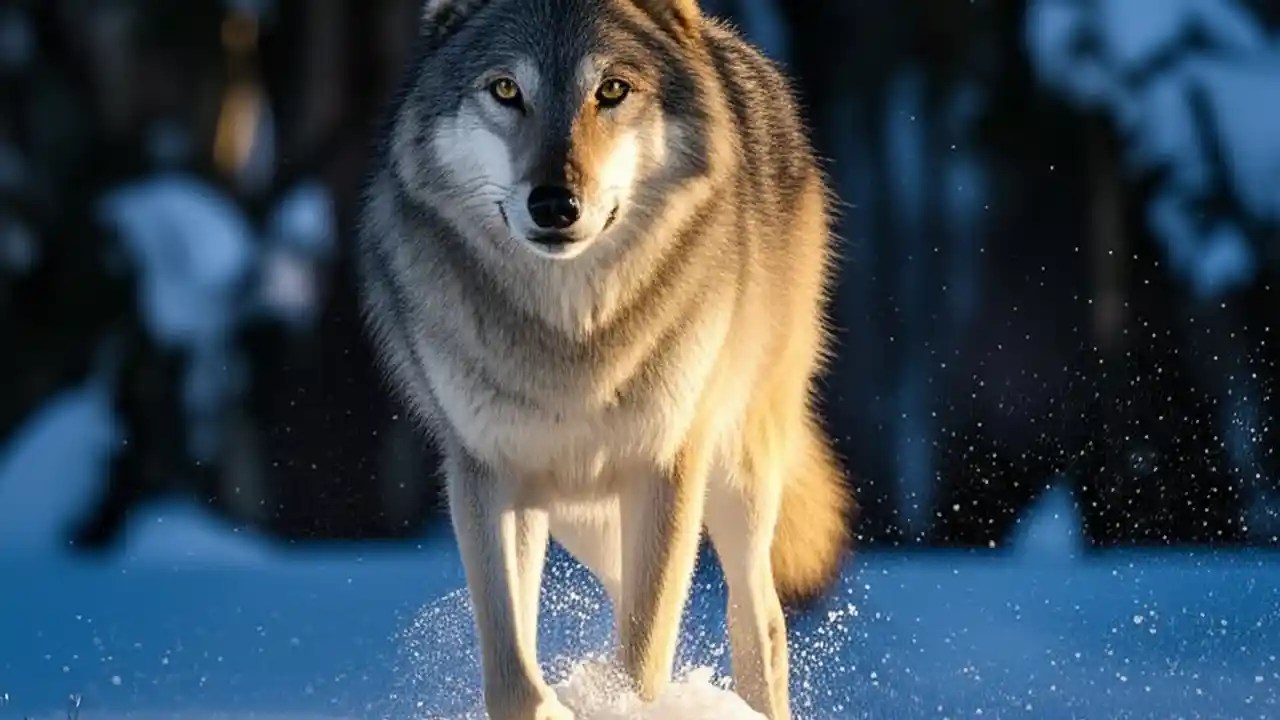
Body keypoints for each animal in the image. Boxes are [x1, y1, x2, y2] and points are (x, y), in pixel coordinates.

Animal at [357, 0, 853, 717]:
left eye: (612, 90)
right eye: (506, 89)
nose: (554, 204)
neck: (573, 339)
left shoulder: (665, 467)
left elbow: (642, 662)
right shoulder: (489, 475)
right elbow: (515, 679)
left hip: (734, 471)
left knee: (759, 622)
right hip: (581, 516)